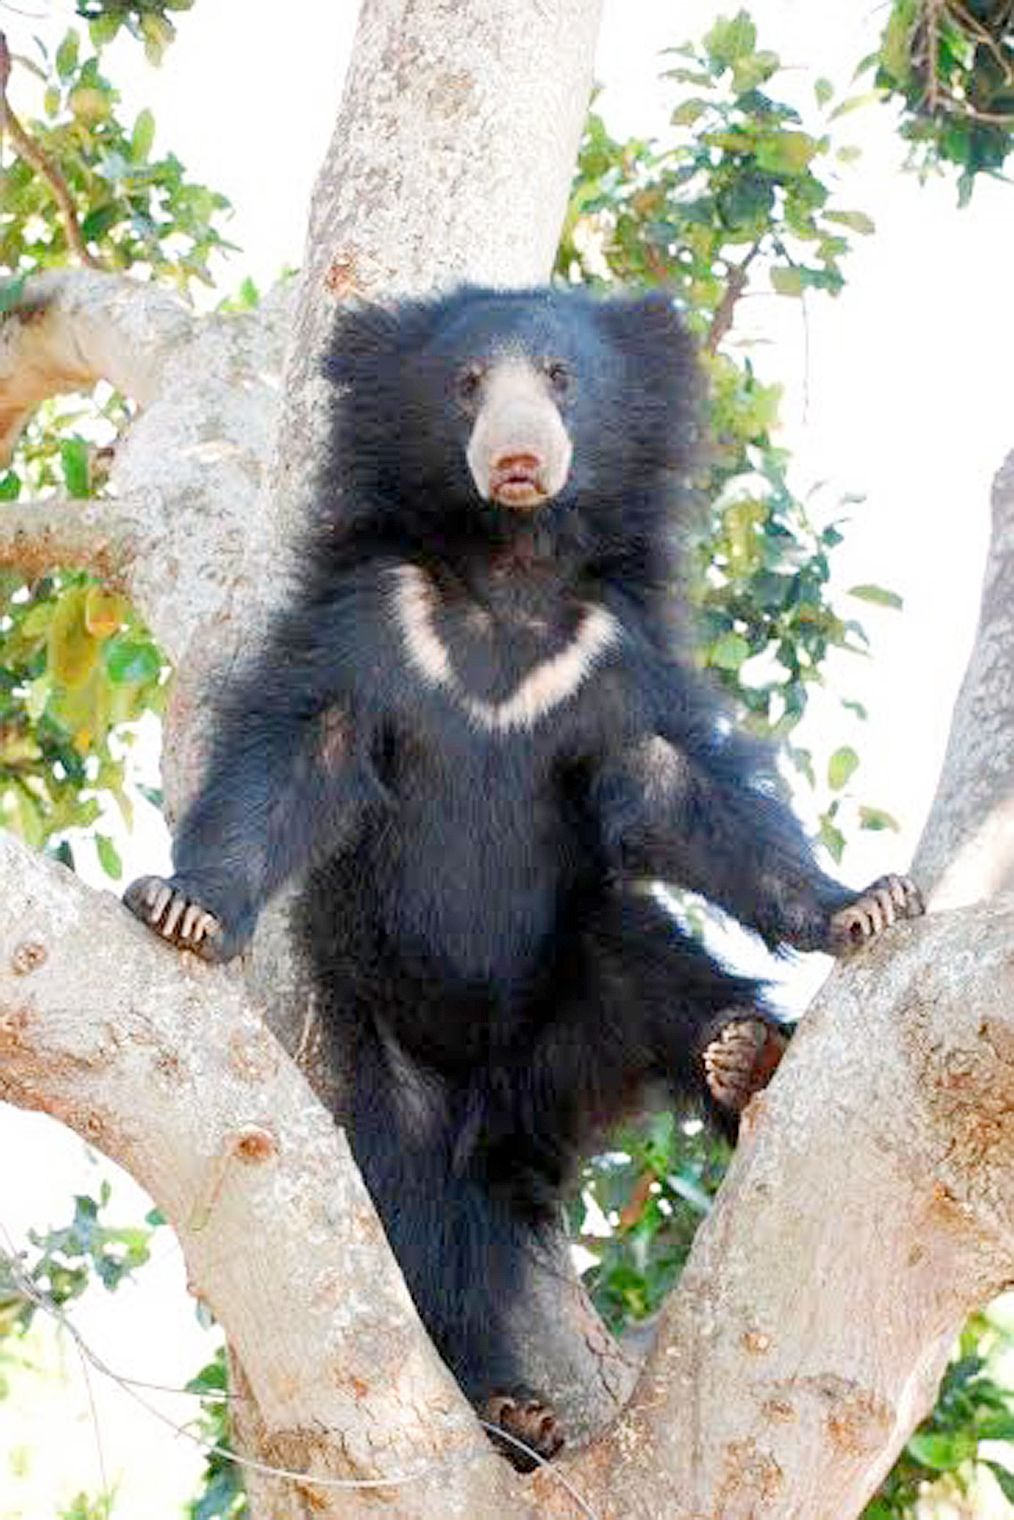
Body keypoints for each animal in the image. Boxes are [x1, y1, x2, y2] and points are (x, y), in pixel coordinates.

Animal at [125, 285, 923, 1466]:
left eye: (558, 376)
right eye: (465, 384)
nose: (515, 456)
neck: (508, 578)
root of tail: (512, 1096)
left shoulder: (607, 656)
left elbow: (678, 785)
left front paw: (863, 902)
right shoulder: (377, 620)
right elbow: (299, 752)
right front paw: (181, 906)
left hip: (589, 980)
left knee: (663, 978)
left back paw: (743, 1058)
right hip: (393, 1056)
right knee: (414, 1214)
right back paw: (504, 1406)